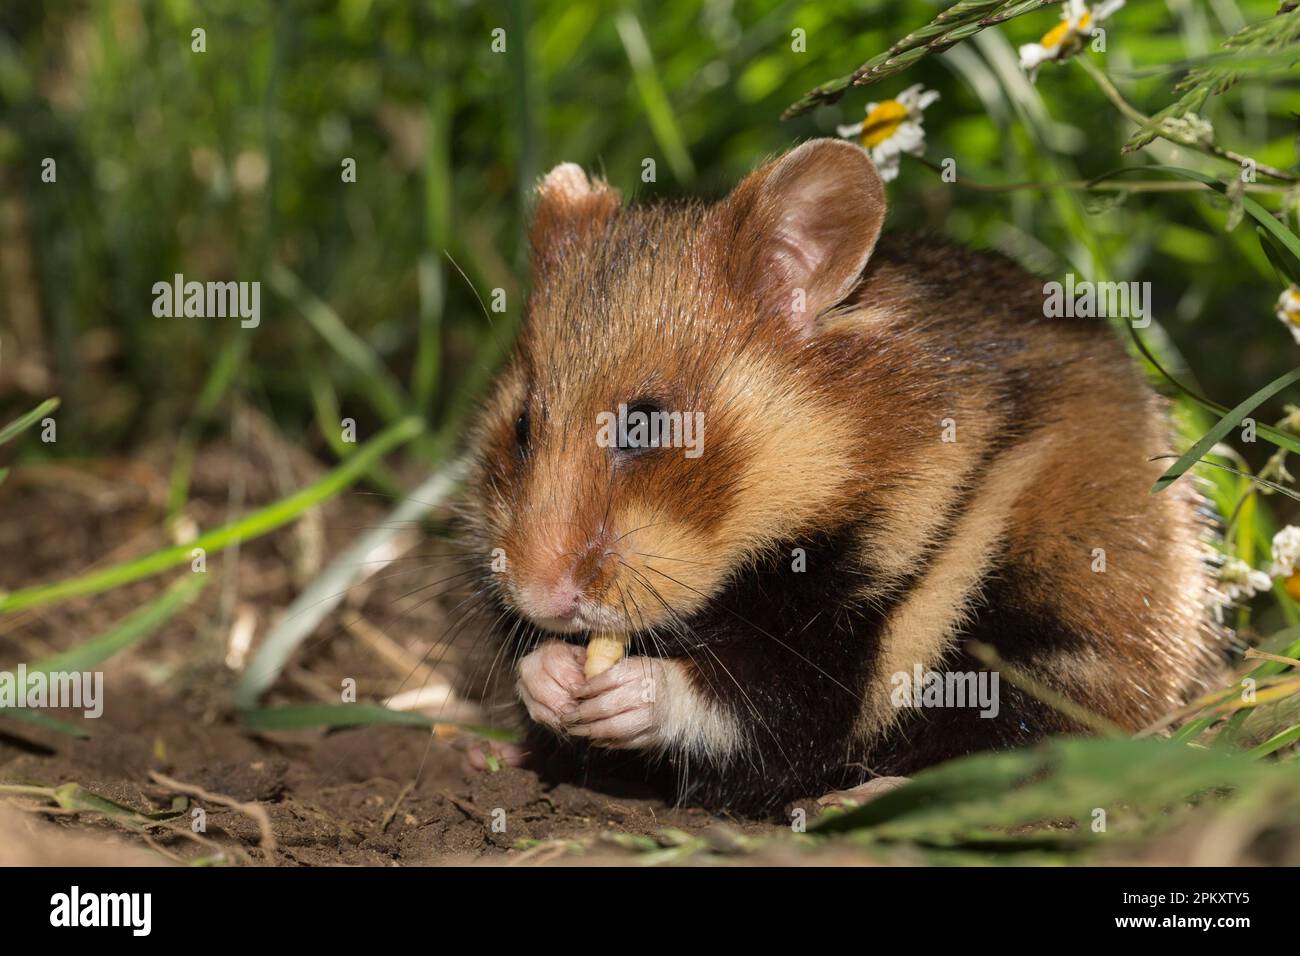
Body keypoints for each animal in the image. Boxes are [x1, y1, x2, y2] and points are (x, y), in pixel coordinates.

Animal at [457, 138, 1226, 815]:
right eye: (522, 425)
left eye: (647, 425)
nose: (538, 595)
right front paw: (551, 679)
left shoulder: (862, 611)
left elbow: (768, 708)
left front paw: (619, 692)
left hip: (1060, 637)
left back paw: (858, 800)